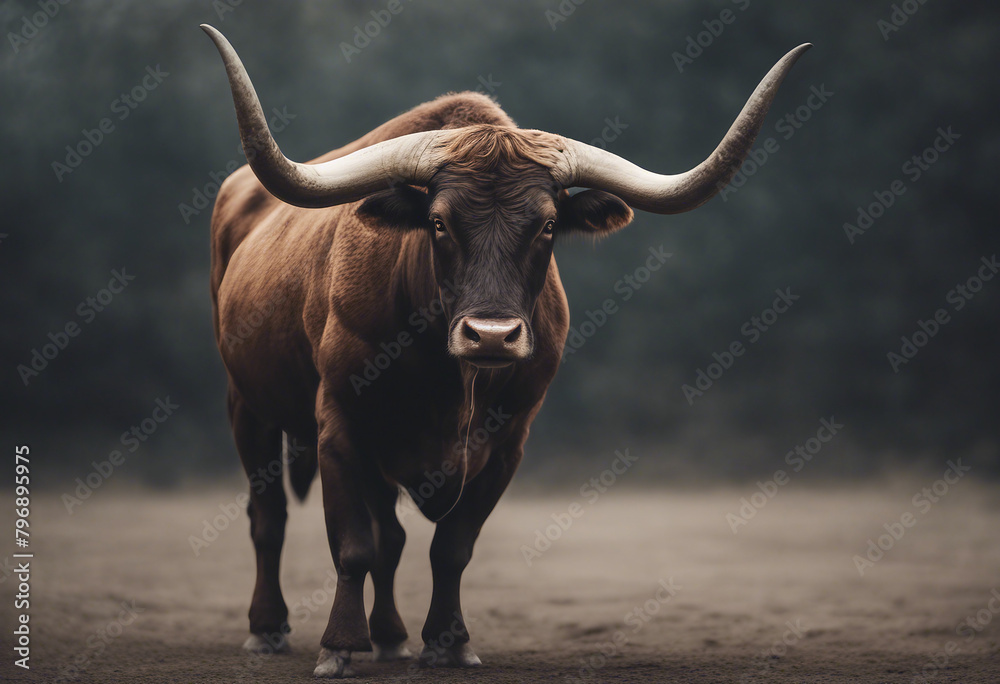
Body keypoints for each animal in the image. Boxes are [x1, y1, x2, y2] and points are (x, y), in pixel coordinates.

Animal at [201, 24, 809, 677]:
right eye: (439, 222)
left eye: (547, 225)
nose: (491, 336)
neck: (451, 384)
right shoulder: (339, 421)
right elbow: (353, 546)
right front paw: (338, 646)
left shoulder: (507, 441)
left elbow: (449, 548)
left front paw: (448, 641)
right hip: (246, 405)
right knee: (269, 519)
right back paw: (268, 627)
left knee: (392, 537)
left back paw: (390, 635)